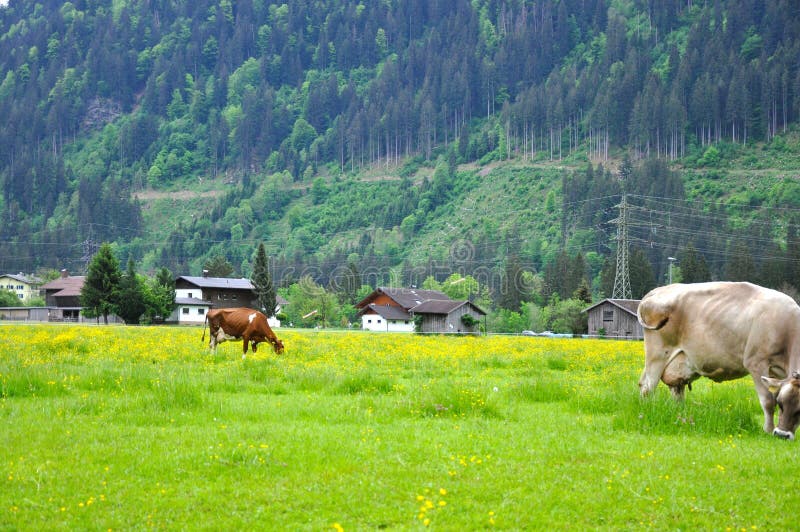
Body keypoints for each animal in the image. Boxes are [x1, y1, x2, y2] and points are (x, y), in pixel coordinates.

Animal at [637, 281, 800, 439]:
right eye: (781, 404)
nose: (782, 435)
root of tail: (659, 290)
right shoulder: (756, 363)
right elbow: (768, 401)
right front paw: (768, 431)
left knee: (672, 391)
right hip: (657, 355)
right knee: (647, 387)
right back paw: (645, 412)